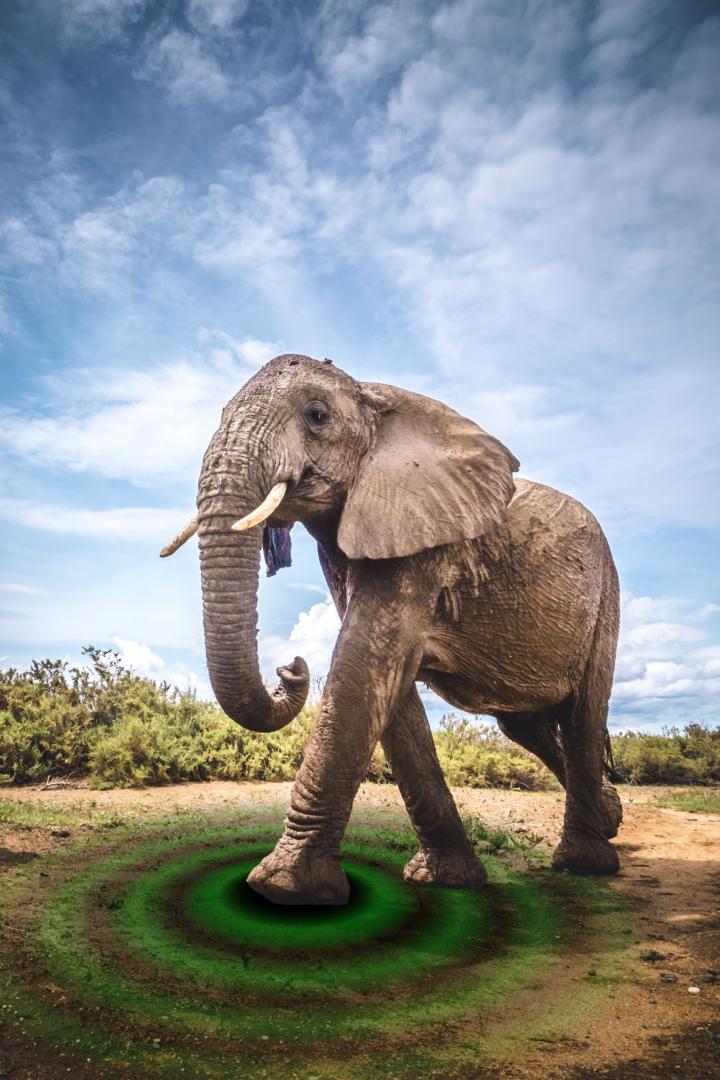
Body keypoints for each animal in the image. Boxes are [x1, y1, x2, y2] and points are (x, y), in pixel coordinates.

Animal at [161, 353, 623, 905]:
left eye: (317, 416)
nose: (291, 666)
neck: (371, 395)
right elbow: (388, 692)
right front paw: (443, 878)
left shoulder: (425, 541)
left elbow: (362, 666)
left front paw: (284, 889)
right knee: (526, 725)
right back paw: (612, 819)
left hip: (606, 596)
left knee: (582, 716)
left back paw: (584, 864)